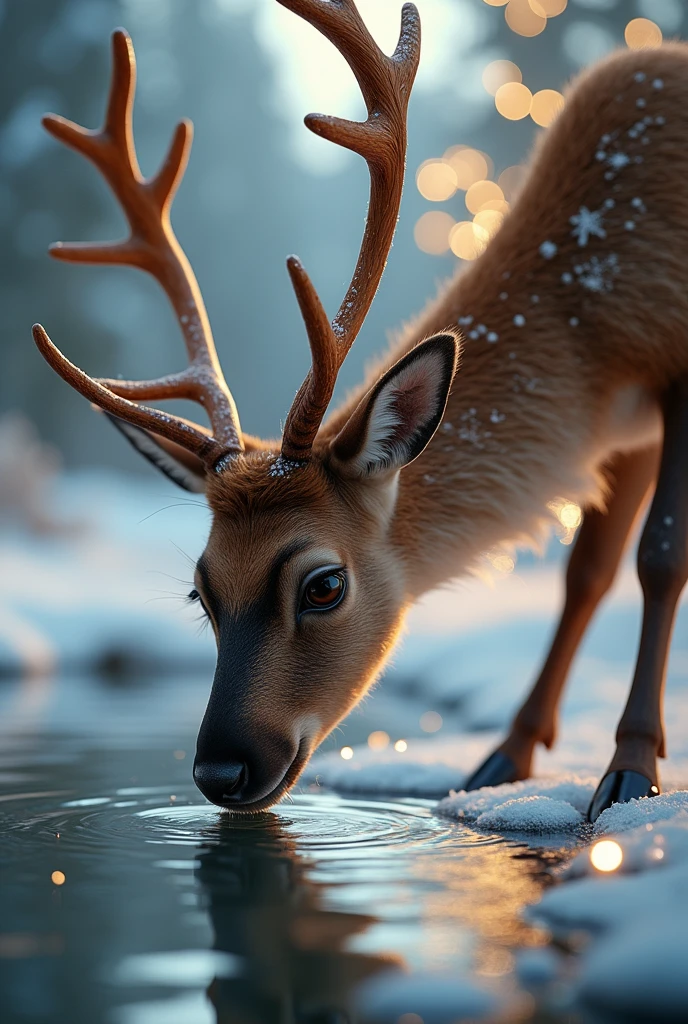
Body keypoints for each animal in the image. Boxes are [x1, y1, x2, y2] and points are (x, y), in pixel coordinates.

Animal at [31, 0, 688, 822]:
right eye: (200, 588)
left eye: (324, 585)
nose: (220, 772)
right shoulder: (626, 431)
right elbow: (587, 572)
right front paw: (501, 759)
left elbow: (660, 555)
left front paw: (631, 773)